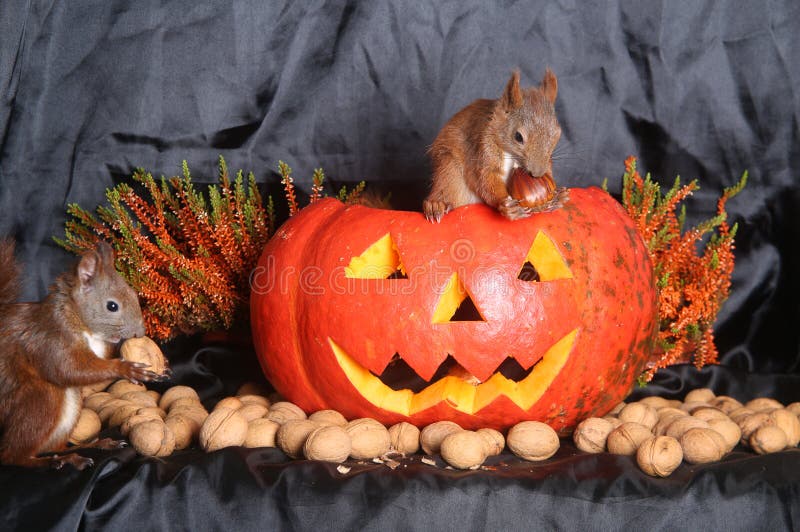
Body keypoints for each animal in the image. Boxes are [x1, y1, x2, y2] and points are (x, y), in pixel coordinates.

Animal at [0, 239, 167, 469]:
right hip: (40, 400)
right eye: (112, 306)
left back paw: (92, 446)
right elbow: (70, 369)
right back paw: (54, 461)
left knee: (52, 446)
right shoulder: (52, 339)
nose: (140, 333)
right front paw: (126, 368)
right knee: (11, 456)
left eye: (134, 294)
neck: (81, 322)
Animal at [423, 68, 564, 222]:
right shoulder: (482, 149)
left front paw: (559, 197)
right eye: (518, 137)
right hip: (449, 169)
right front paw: (507, 206)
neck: (512, 156)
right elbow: (485, 179)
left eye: (558, 134)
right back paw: (436, 205)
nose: (537, 174)